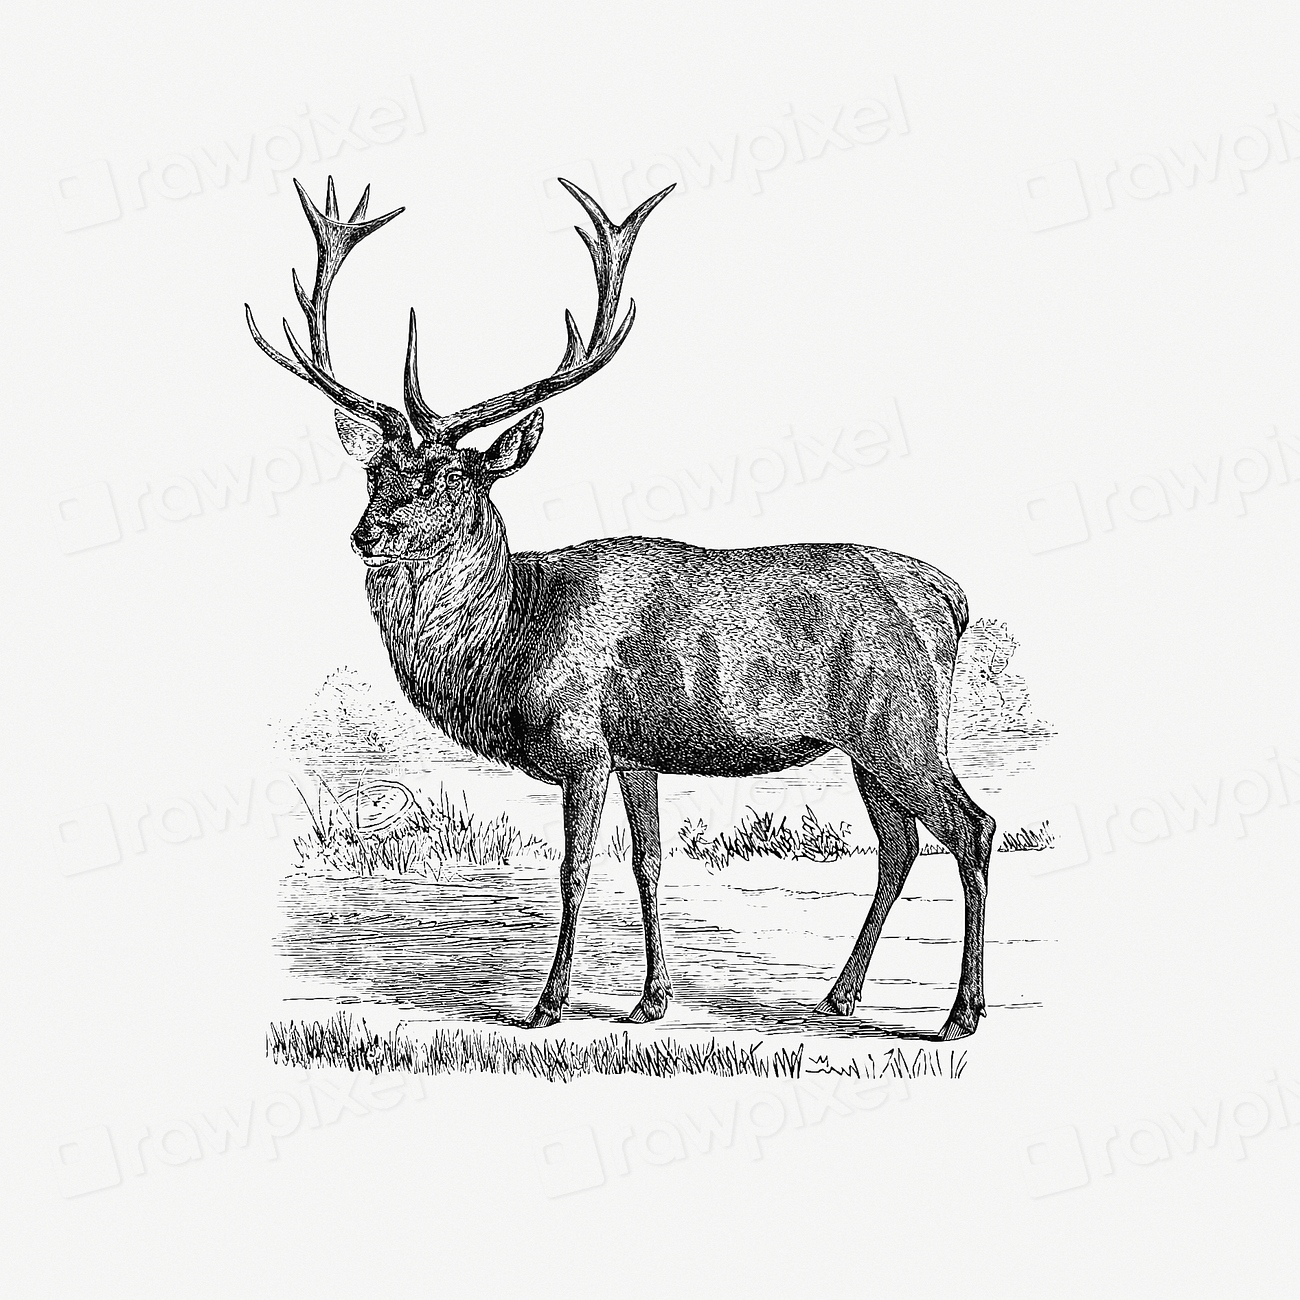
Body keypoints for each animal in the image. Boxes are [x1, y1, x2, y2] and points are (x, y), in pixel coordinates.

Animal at [247, 177, 997, 1040]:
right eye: (376, 473)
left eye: (449, 476)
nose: (366, 534)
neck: (511, 637)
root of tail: (953, 599)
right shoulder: (637, 752)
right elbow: (649, 861)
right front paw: (651, 999)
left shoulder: (584, 745)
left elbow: (574, 866)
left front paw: (548, 1002)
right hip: (869, 745)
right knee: (900, 846)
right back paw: (840, 995)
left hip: (899, 725)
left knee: (972, 828)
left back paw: (961, 1014)